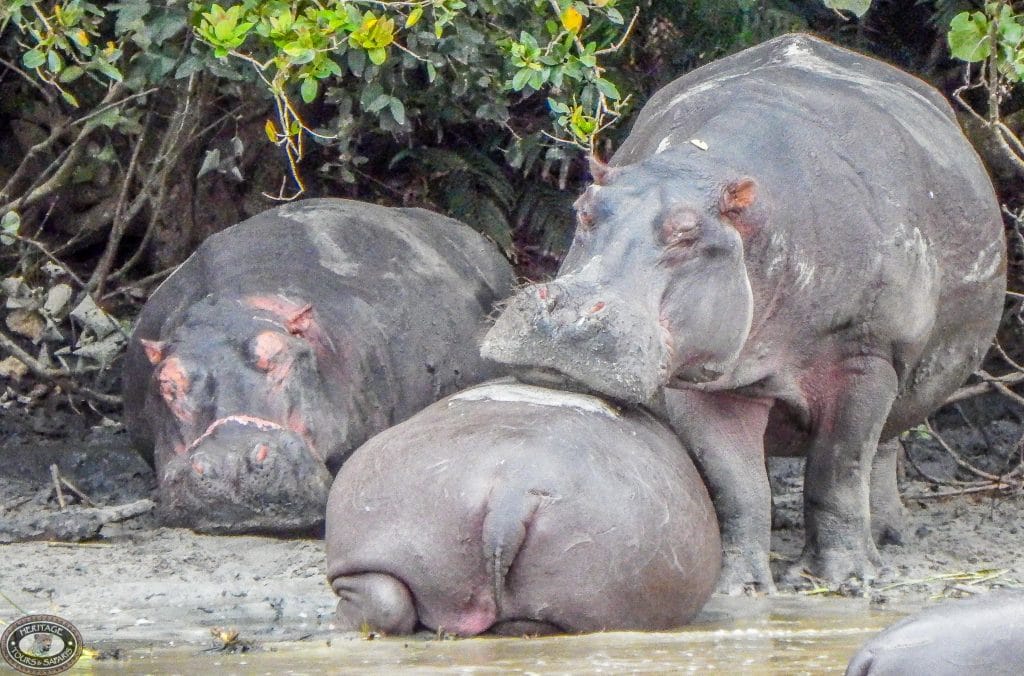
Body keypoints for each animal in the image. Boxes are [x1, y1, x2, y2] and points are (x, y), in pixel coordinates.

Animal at [482, 34, 1006, 592]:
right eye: (584, 207)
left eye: (687, 233)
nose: (567, 311)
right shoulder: (704, 378)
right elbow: (736, 485)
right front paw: (740, 587)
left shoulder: (866, 358)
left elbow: (839, 469)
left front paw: (845, 578)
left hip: (906, 369)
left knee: (882, 449)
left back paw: (887, 541)